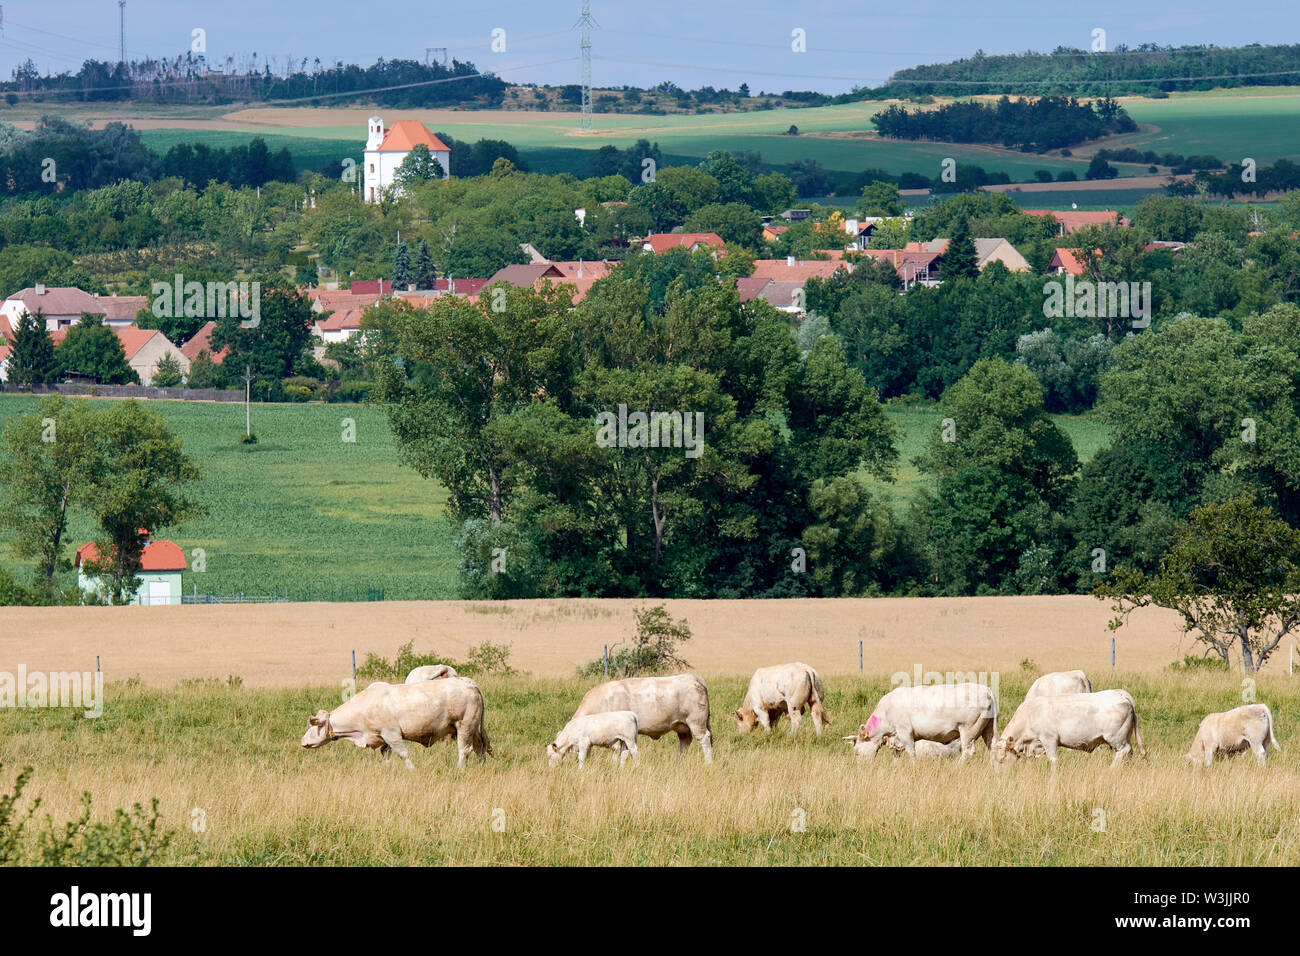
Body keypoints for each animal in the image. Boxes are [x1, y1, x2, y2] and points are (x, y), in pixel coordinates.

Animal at [300, 677, 491, 769]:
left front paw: (412, 770)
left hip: (464, 726)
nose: (302, 741)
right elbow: (386, 755)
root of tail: (468, 683)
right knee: (479, 748)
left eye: (314, 725)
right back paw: (482, 767)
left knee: (464, 750)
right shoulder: (383, 740)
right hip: (473, 728)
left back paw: (460, 769)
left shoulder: (391, 734)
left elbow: (403, 754)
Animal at [570, 674, 713, 762]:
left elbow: (617, 751)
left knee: (705, 739)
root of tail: (694, 678)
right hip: (682, 726)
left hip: (696, 722)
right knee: (685, 742)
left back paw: (708, 762)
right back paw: (679, 762)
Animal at [846, 683, 997, 760]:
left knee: (968, 751)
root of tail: (987, 690)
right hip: (988, 729)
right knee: (993, 748)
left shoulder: (905, 733)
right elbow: (896, 755)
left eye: (857, 752)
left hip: (968, 730)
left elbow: (911, 752)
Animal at [993, 689, 1145, 769]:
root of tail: (1119, 693)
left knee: (1123, 751)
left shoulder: (1049, 739)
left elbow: (1053, 760)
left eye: (1002, 758)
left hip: (1116, 738)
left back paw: (1110, 769)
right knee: (1128, 753)